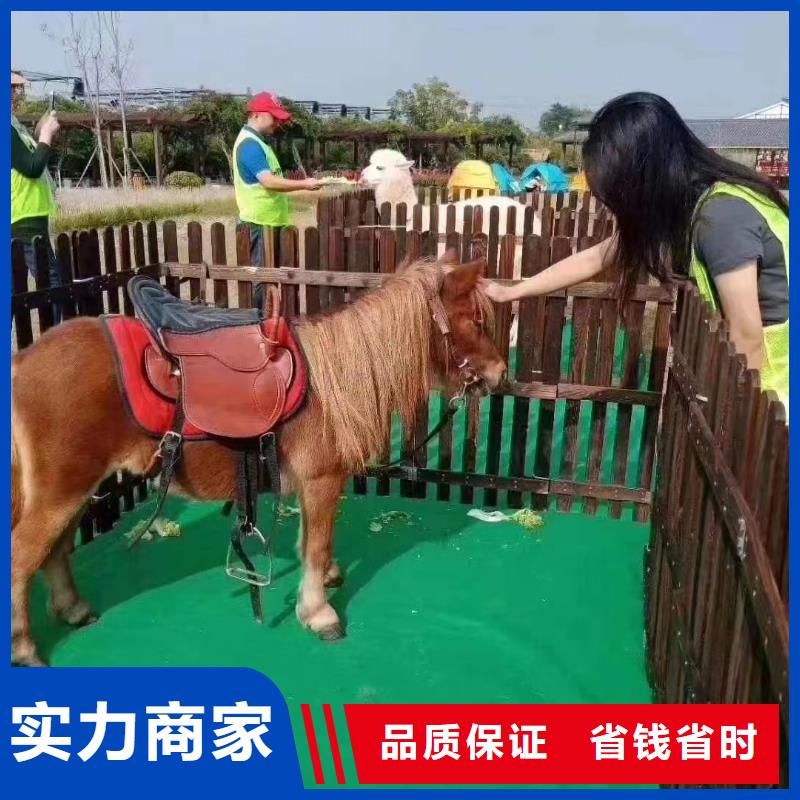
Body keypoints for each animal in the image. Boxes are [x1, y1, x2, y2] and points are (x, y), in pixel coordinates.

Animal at [10, 251, 506, 666]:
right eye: (475, 319)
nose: (501, 373)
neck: (333, 382)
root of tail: (22, 362)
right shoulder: (323, 479)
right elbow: (318, 543)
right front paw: (318, 613)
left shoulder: (308, 485)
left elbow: (311, 540)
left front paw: (324, 579)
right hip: (61, 493)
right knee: (22, 558)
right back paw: (24, 648)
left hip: (80, 488)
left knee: (55, 551)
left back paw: (74, 610)